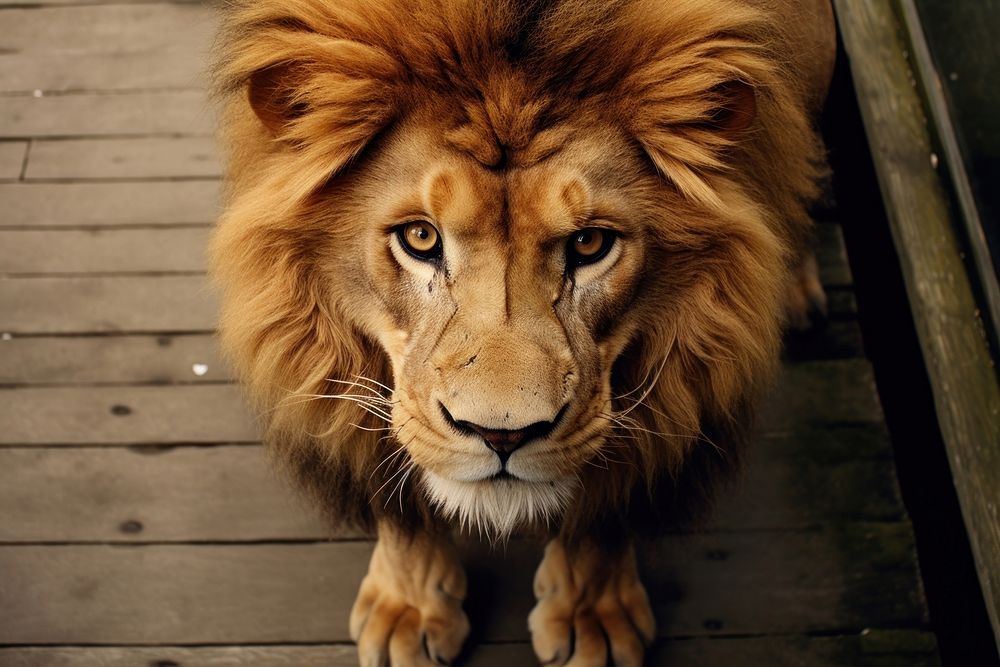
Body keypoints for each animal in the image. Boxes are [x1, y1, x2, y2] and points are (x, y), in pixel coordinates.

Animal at [210, 0, 836, 664]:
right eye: (421, 237)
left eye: (589, 243)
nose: (501, 436)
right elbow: (392, 486)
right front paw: (410, 607)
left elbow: (609, 504)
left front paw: (592, 617)